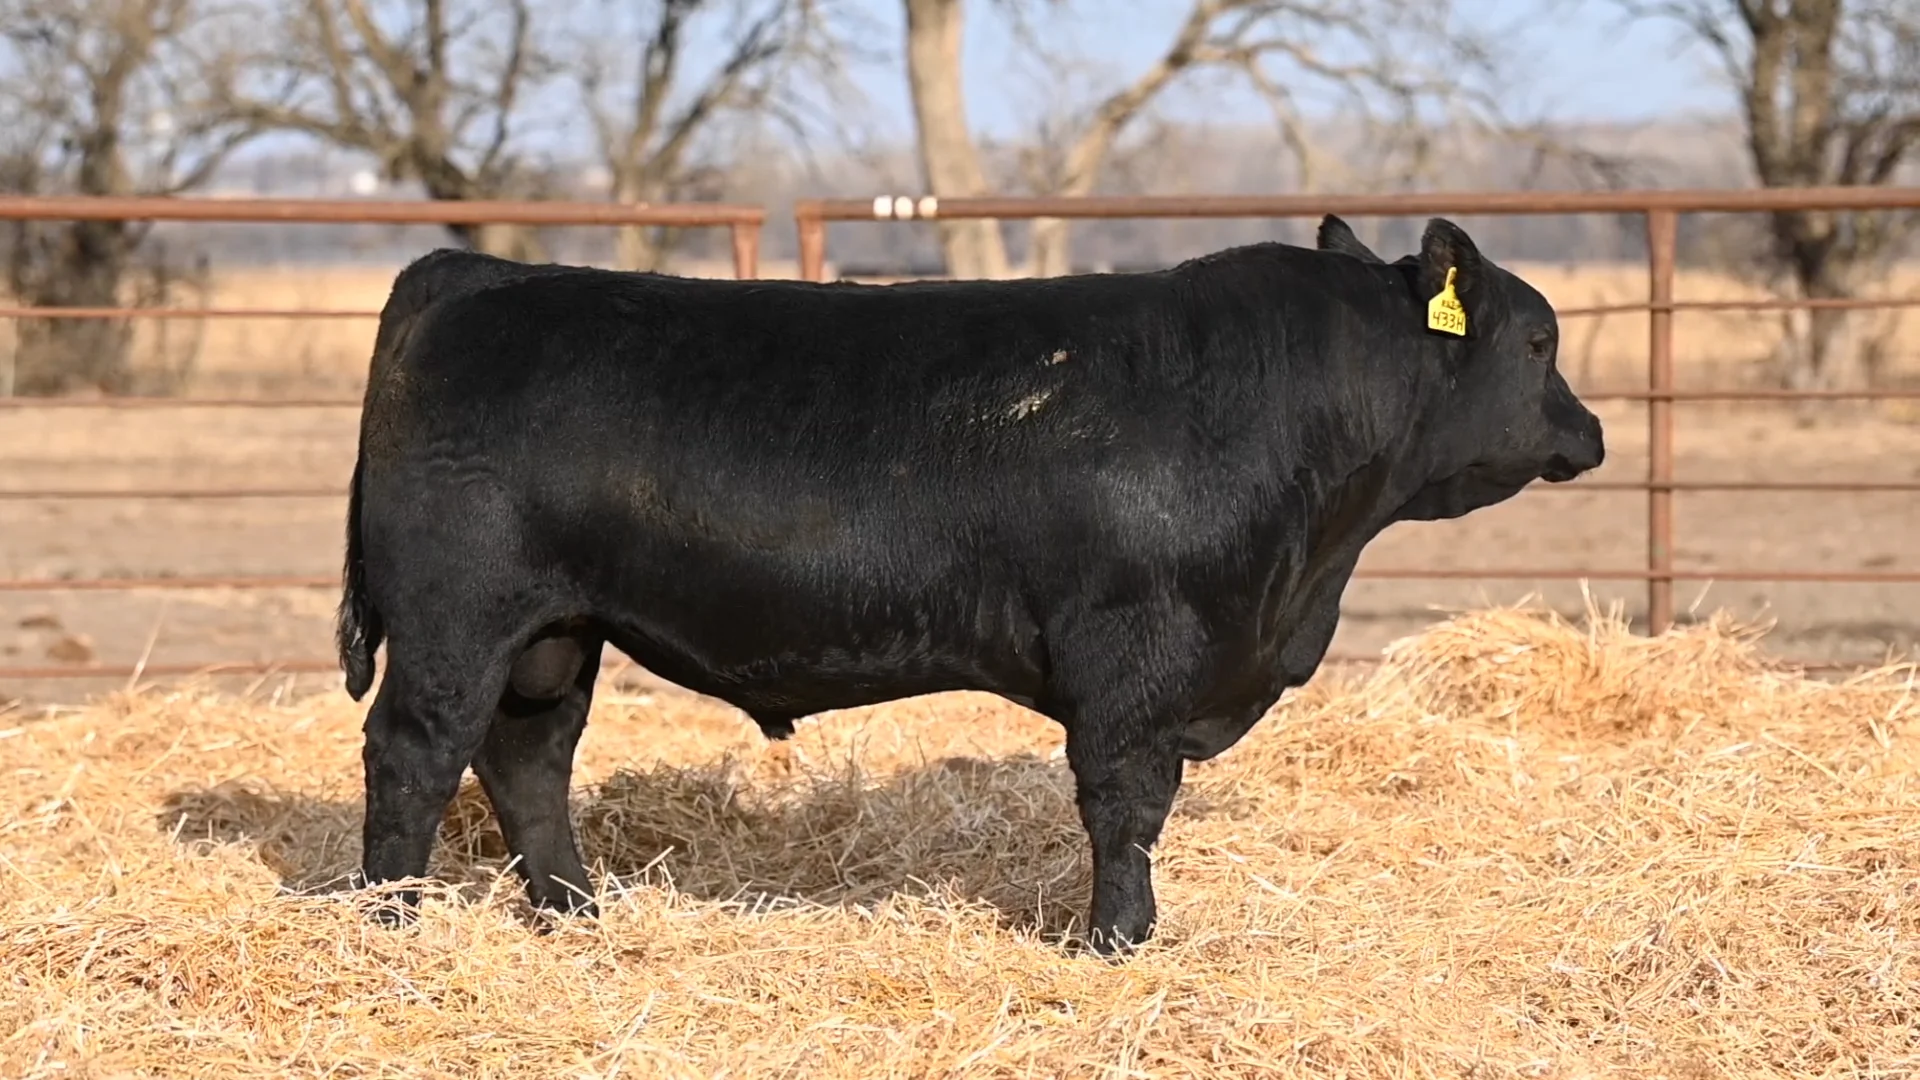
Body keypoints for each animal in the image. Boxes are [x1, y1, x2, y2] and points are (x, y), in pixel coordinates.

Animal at [335, 215, 1604, 955]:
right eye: (1540, 343)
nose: (1589, 433)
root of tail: (475, 271)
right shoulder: (1136, 655)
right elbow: (1124, 807)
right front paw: (1117, 942)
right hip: (459, 618)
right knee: (415, 752)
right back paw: (391, 924)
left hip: (555, 632)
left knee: (526, 759)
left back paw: (576, 914)